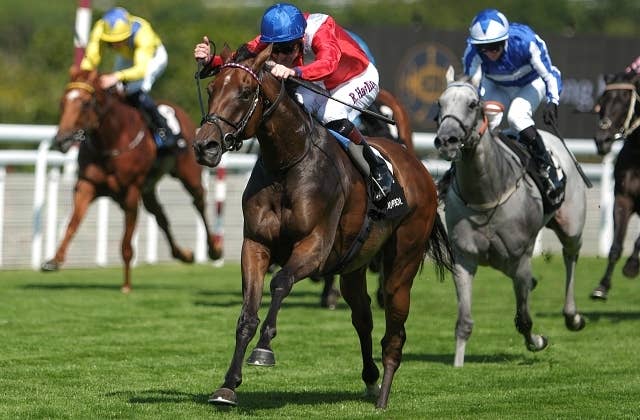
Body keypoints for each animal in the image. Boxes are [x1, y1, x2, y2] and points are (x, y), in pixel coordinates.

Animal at [41, 66, 222, 292]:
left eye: (85, 103)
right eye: (63, 102)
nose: (61, 140)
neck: (111, 141)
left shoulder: (131, 191)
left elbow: (126, 243)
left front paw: (126, 285)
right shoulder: (87, 185)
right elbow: (73, 223)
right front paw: (54, 260)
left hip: (188, 175)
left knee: (199, 201)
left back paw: (214, 249)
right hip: (148, 188)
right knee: (161, 215)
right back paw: (184, 254)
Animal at [192, 44, 453, 409]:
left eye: (245, 92)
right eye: (212, 89)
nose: (205, 146)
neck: (288, 165)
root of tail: (419, 168)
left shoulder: (314, 247)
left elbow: (281, 283)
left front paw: (264, 350)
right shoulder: (255, 245)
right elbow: (247, 314)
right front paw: (228, 386)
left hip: (403, 262)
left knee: (394, 330)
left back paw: (383, 397)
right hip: (354, 266)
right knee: (363, 317)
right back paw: (370, 379)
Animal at [434, 67, 586, 367]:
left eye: (473, 104)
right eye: (440, 104)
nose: (446, 141)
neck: (487, 193)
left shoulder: (520, 258)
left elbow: (525, 318)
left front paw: (537, 341)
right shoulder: (464, 259)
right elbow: (464, 321)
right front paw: (458, 365)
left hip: (571, 226)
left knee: (571, 255)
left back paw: (572, 316)